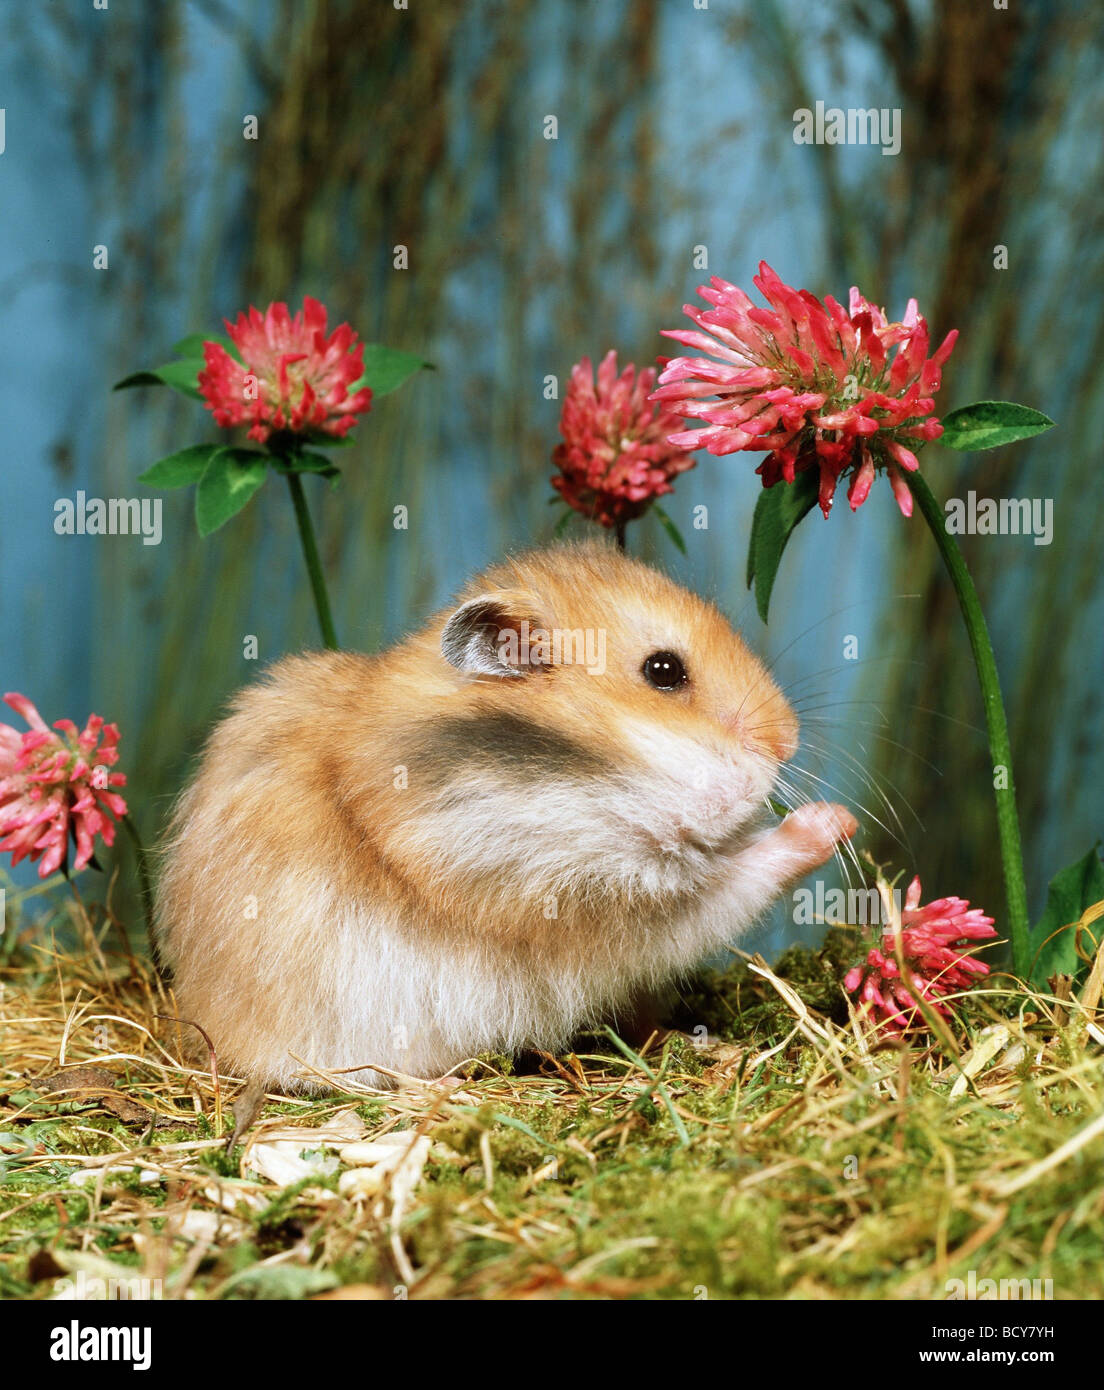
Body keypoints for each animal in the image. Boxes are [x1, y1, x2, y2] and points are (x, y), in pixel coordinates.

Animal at [155, 541, 857, 1094]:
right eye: (664, 671)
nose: (789, 742)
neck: (586, 779)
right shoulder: (597, 907)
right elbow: (736, 880)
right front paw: (833, 819)